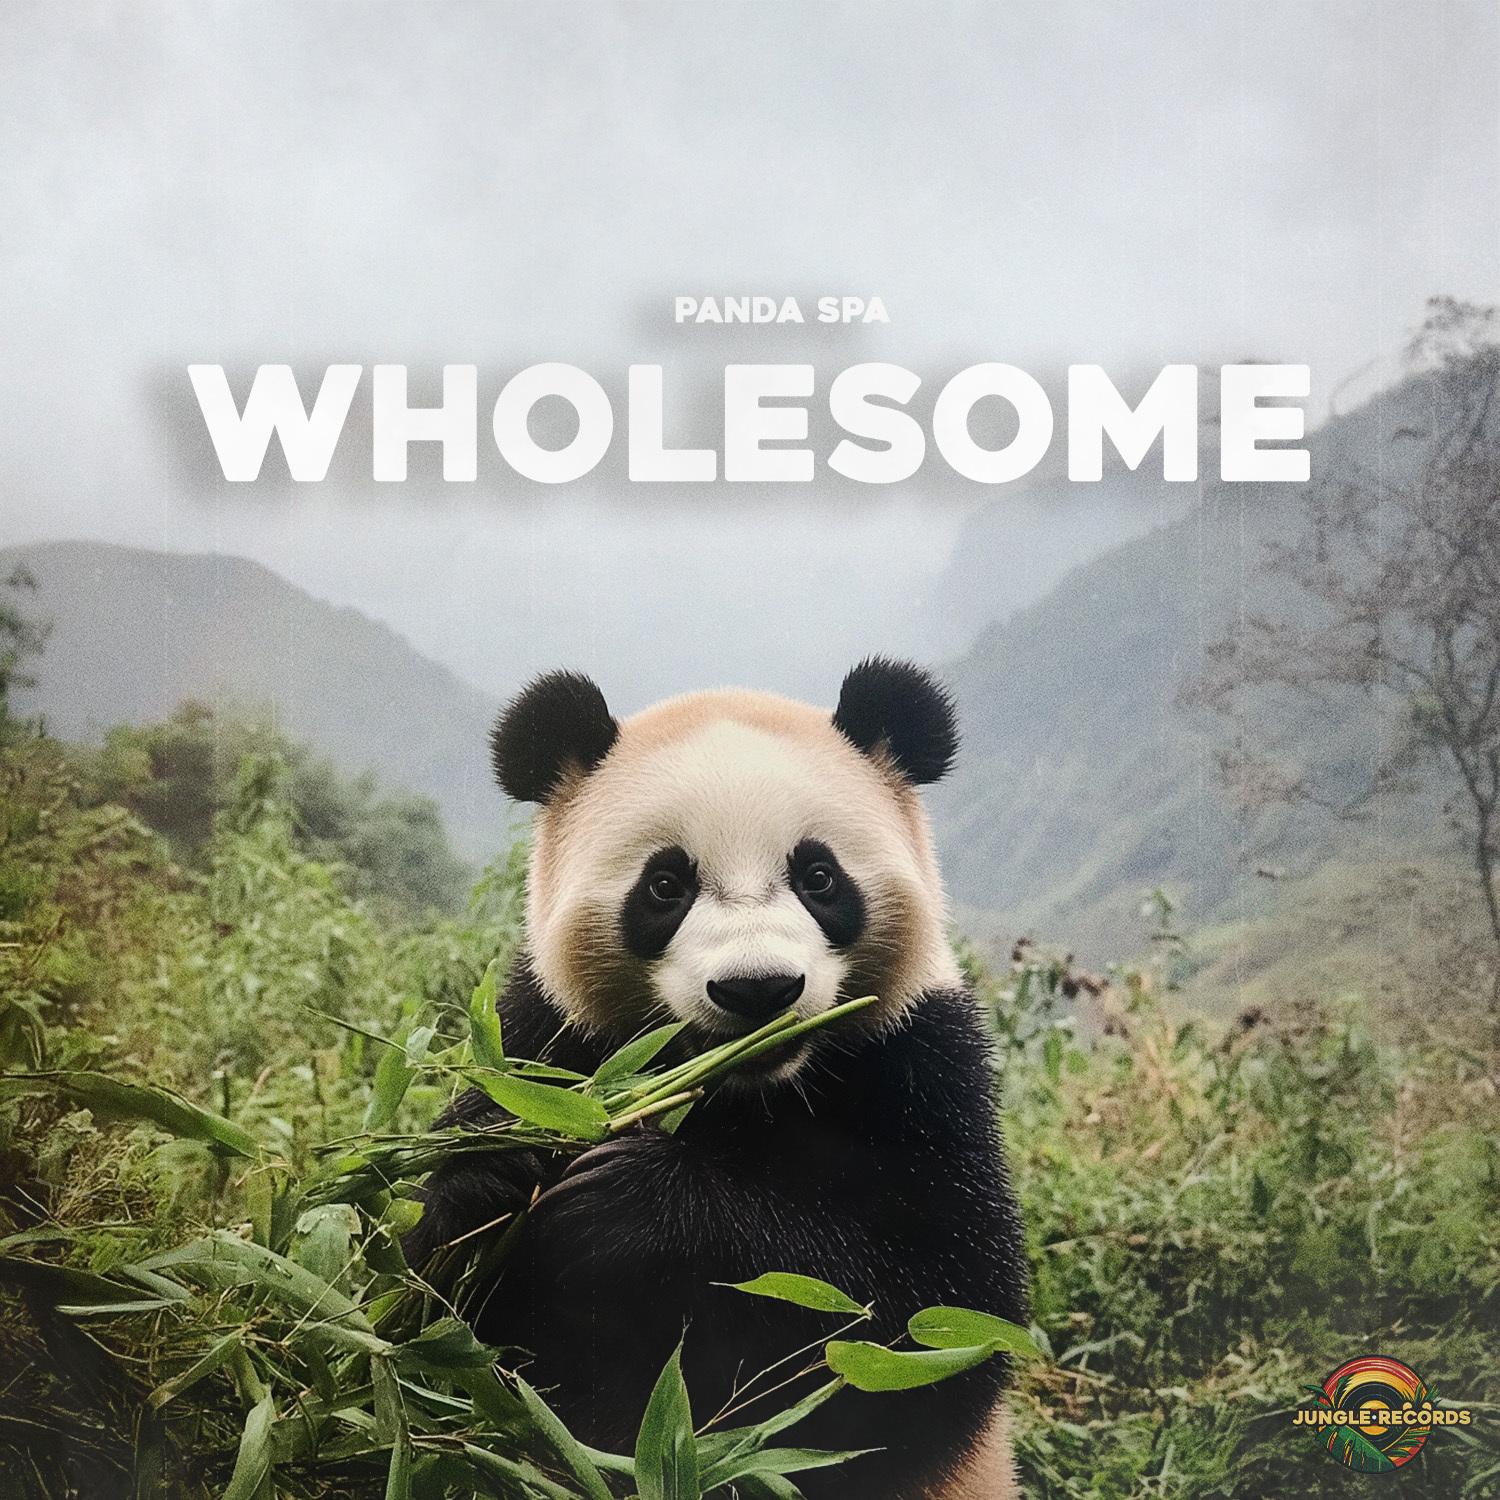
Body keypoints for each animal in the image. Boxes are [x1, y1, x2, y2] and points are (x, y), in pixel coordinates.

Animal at [406, 658, 1028, 1500]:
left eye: (819, 875)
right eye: (665, 885)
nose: (758, 989)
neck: (749, 1087)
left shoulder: (923, 1068)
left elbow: (928, 1322)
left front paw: (630, 1200)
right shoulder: (545, 1042)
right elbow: (426, 1314)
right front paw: (492, 1177)